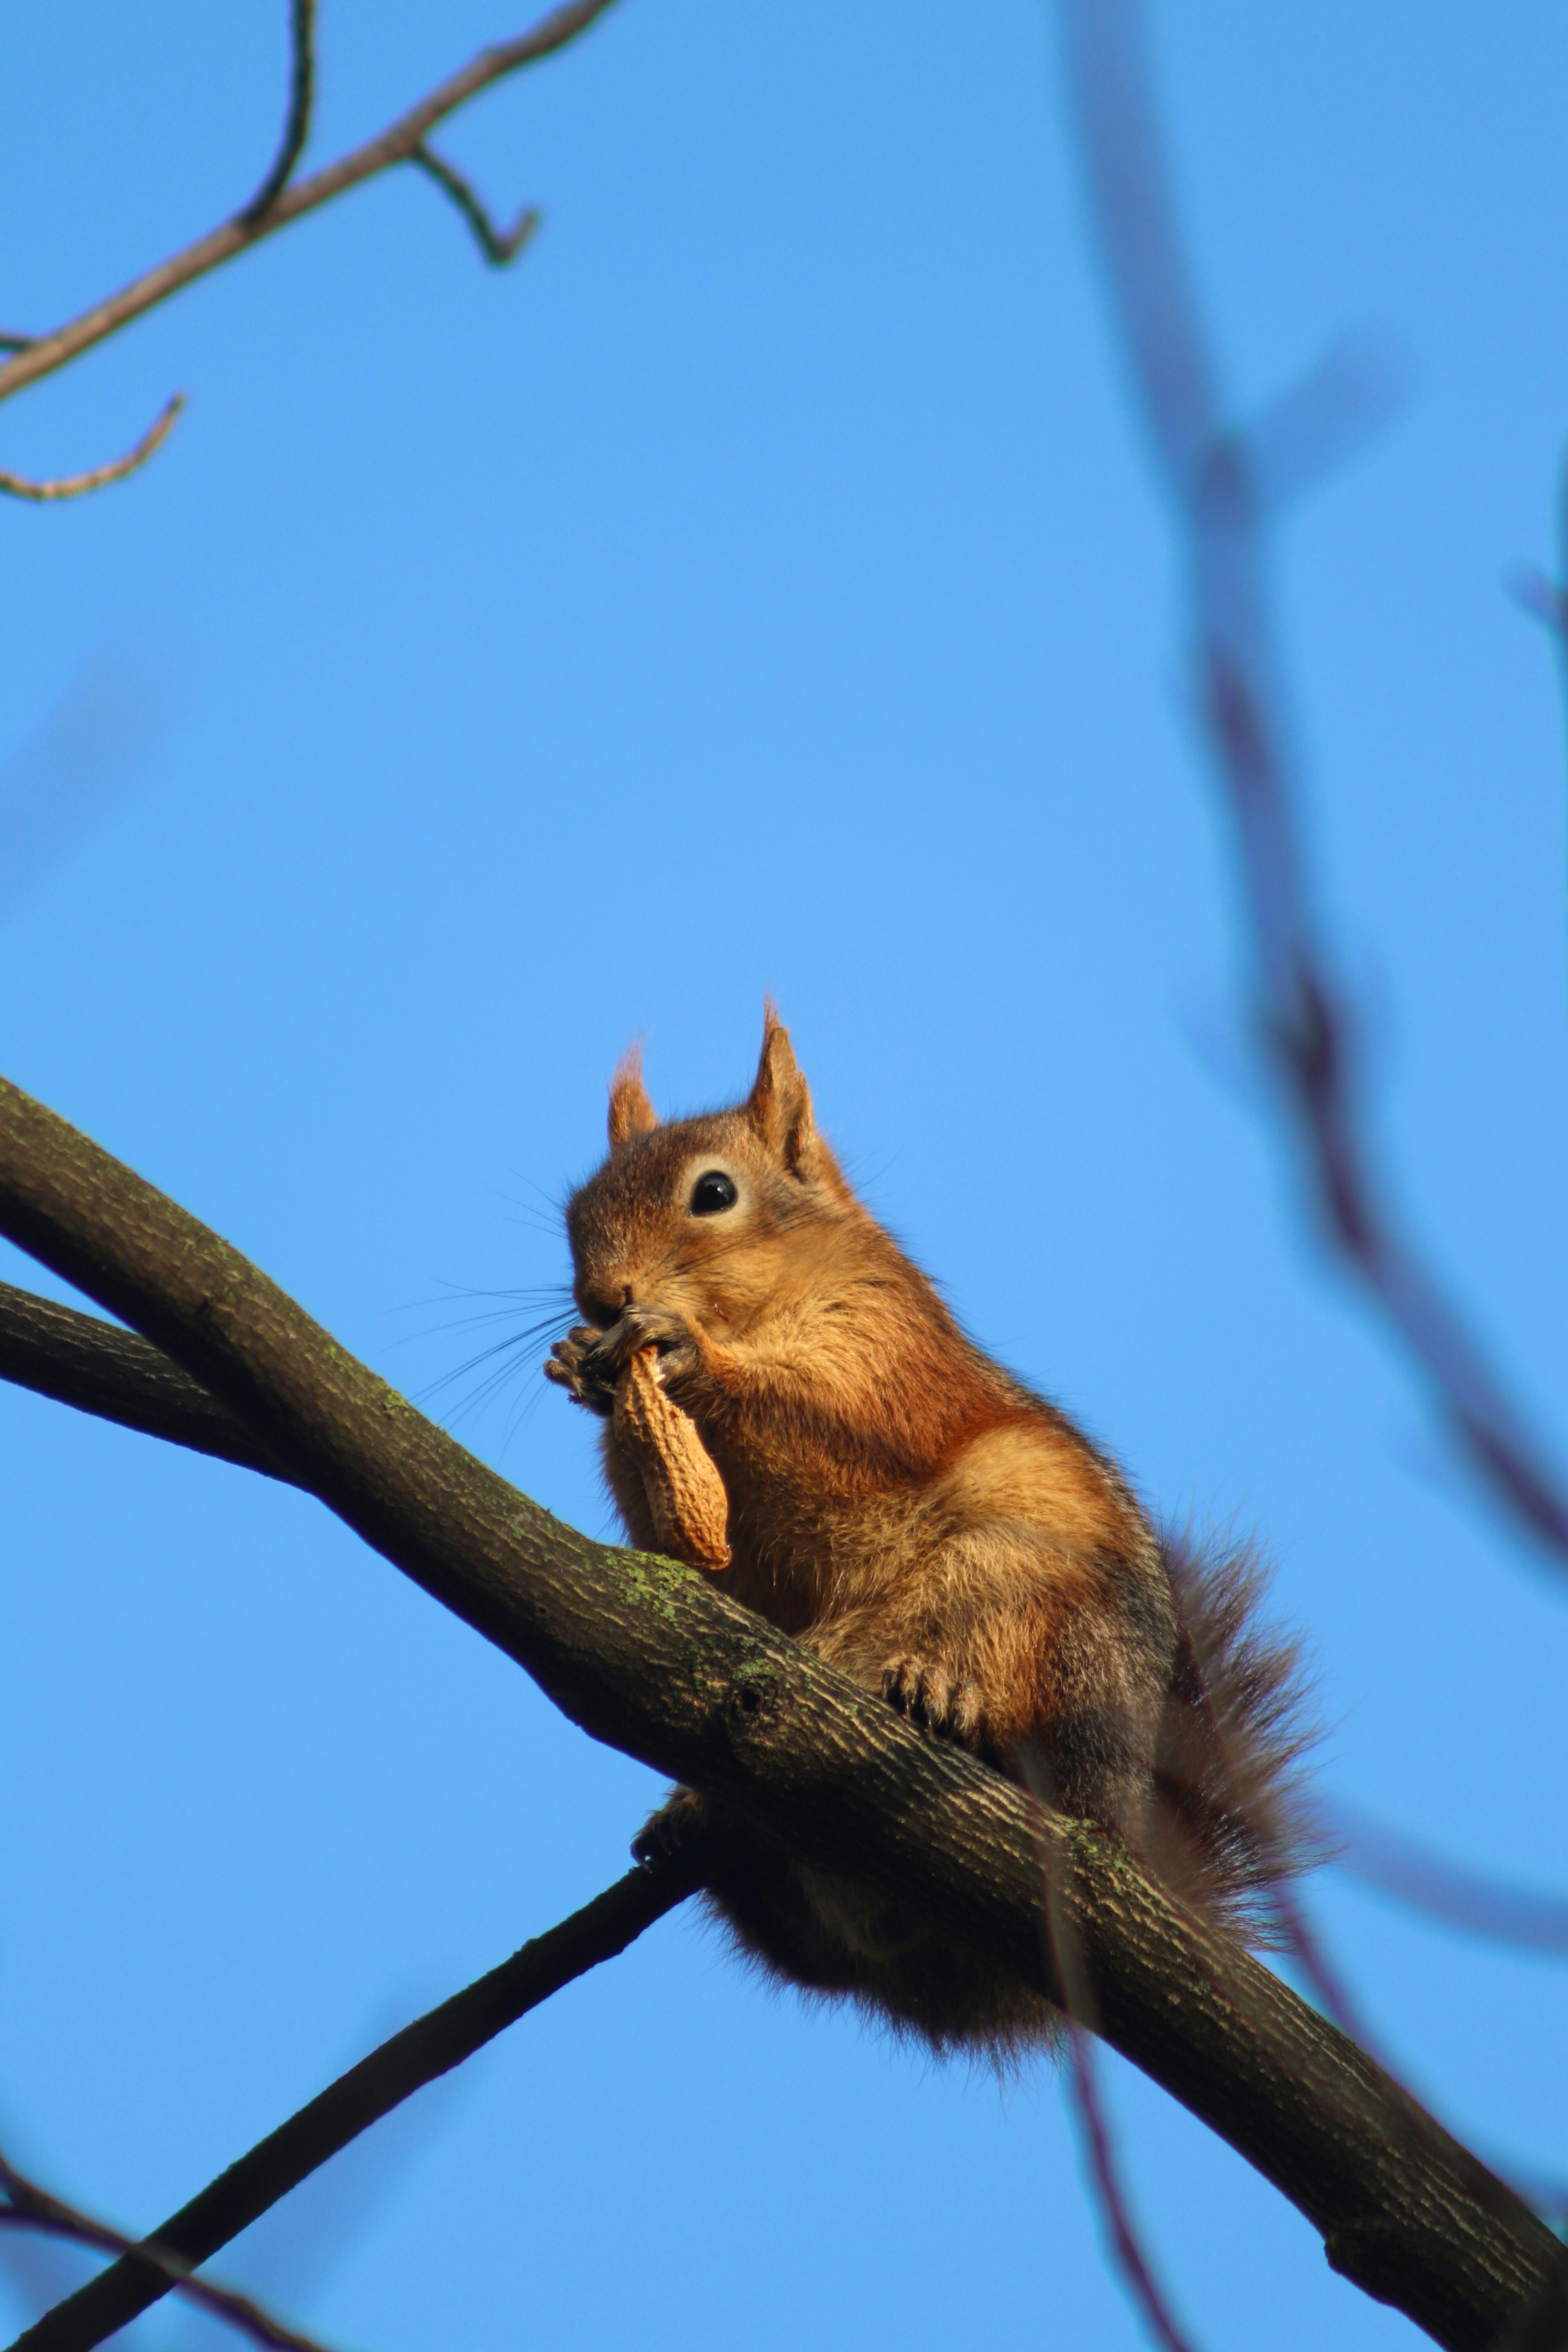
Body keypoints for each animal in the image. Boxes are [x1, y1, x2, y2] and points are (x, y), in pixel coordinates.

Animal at [545, 1010, 1311, 2057]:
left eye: (713, 1193)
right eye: (574, 1213)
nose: (603, 1297)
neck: (775, 1299)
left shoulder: (891, 1359)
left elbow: (832, 1421)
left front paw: (684, 1352)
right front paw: (582, 1367)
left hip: (1026, 1591)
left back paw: (943, 1696)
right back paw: (696, 1816)